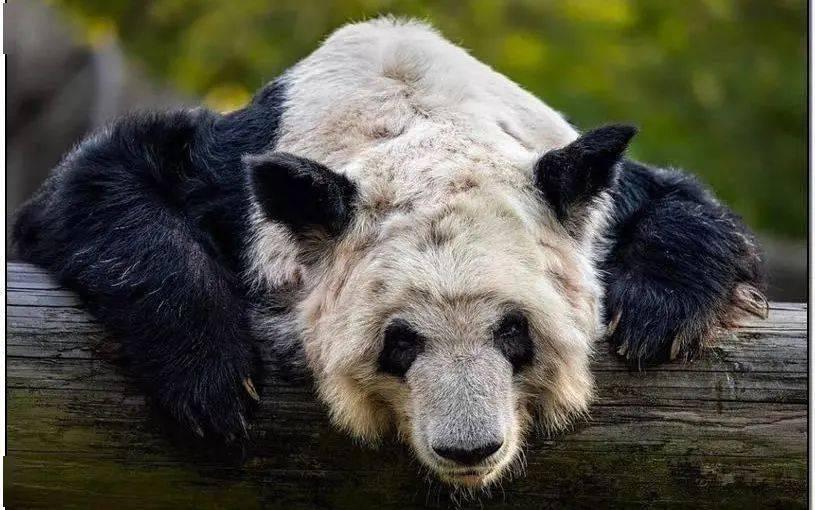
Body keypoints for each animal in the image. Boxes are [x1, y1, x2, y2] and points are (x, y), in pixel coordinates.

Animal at [13, 18, 767, 488]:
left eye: (513, 332)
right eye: (399, 342)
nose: (469, 448)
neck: (412, 109)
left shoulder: (567, 161)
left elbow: (680, 204)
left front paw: (655, 315)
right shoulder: (233, 177)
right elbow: (94, 188)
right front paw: (212, 378)